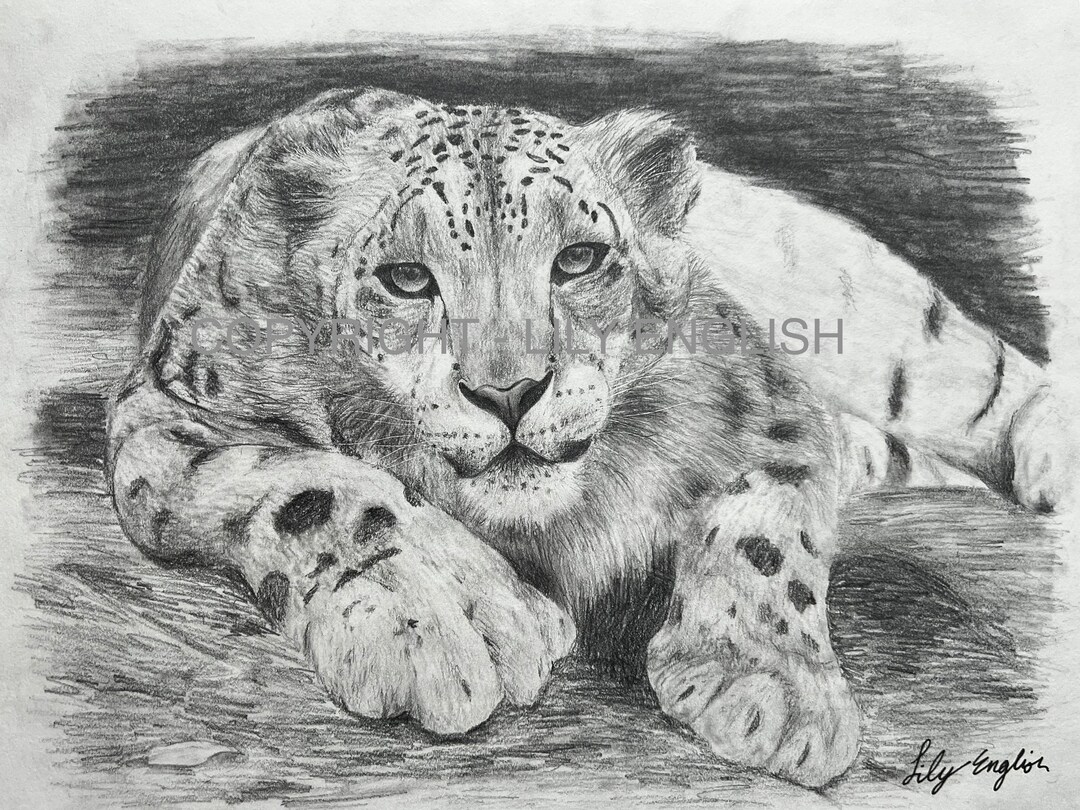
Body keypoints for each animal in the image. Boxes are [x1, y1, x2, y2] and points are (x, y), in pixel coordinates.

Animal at [106, 87, 1068, 788]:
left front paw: (770, 689)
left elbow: (766, 519)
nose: (508, 390)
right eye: (406, 278)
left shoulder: (771, 399)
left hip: (861, 299)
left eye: (579, 259)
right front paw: (446, 621)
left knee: (987, 372)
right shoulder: (170, 407)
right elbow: (321, 484)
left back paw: (1050, 465)